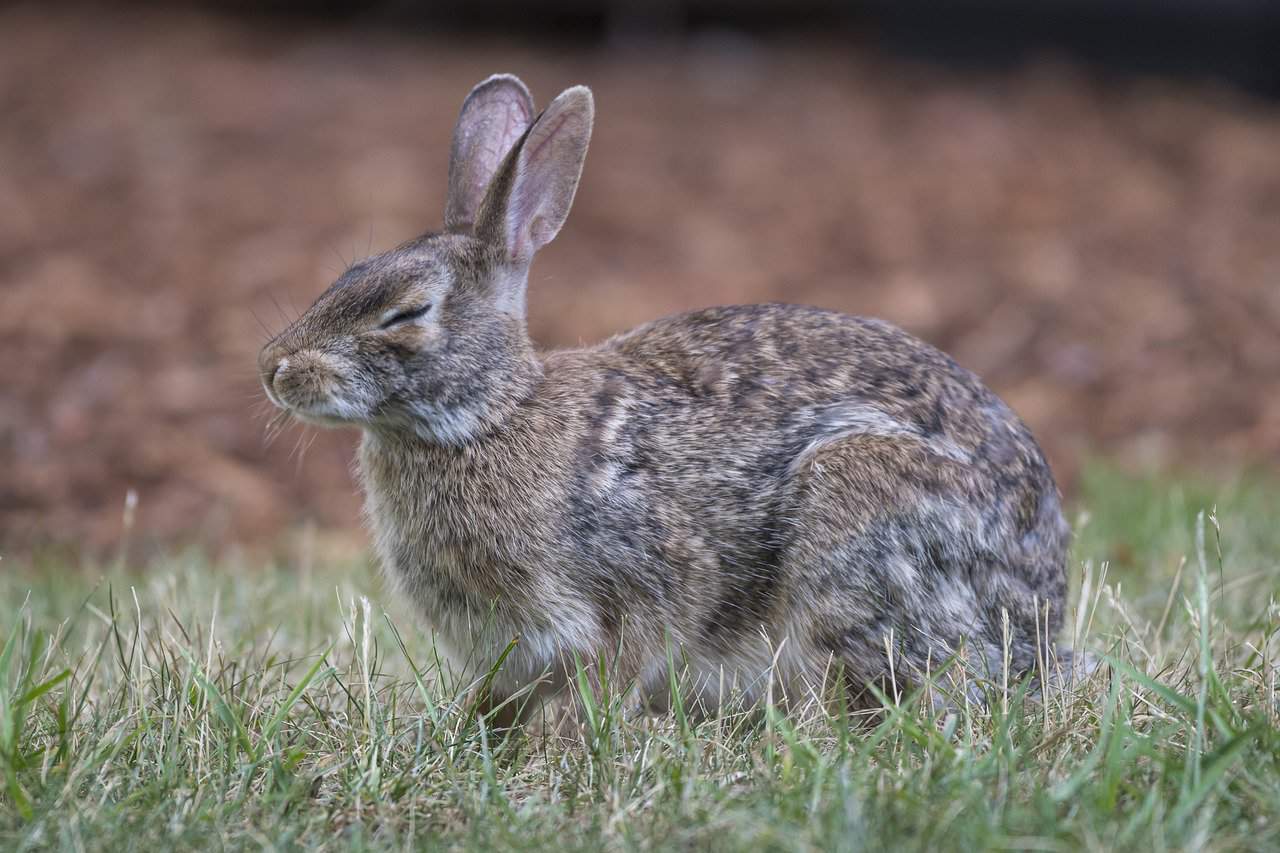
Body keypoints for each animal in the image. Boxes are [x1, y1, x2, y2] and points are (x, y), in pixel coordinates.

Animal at [259, 74, 1079, 724]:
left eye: (406, 314)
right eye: (351, 272)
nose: (275, 368)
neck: (490, 416)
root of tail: (1044, 605)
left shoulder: (632, 598)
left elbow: (610, 678)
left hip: (858, 515)